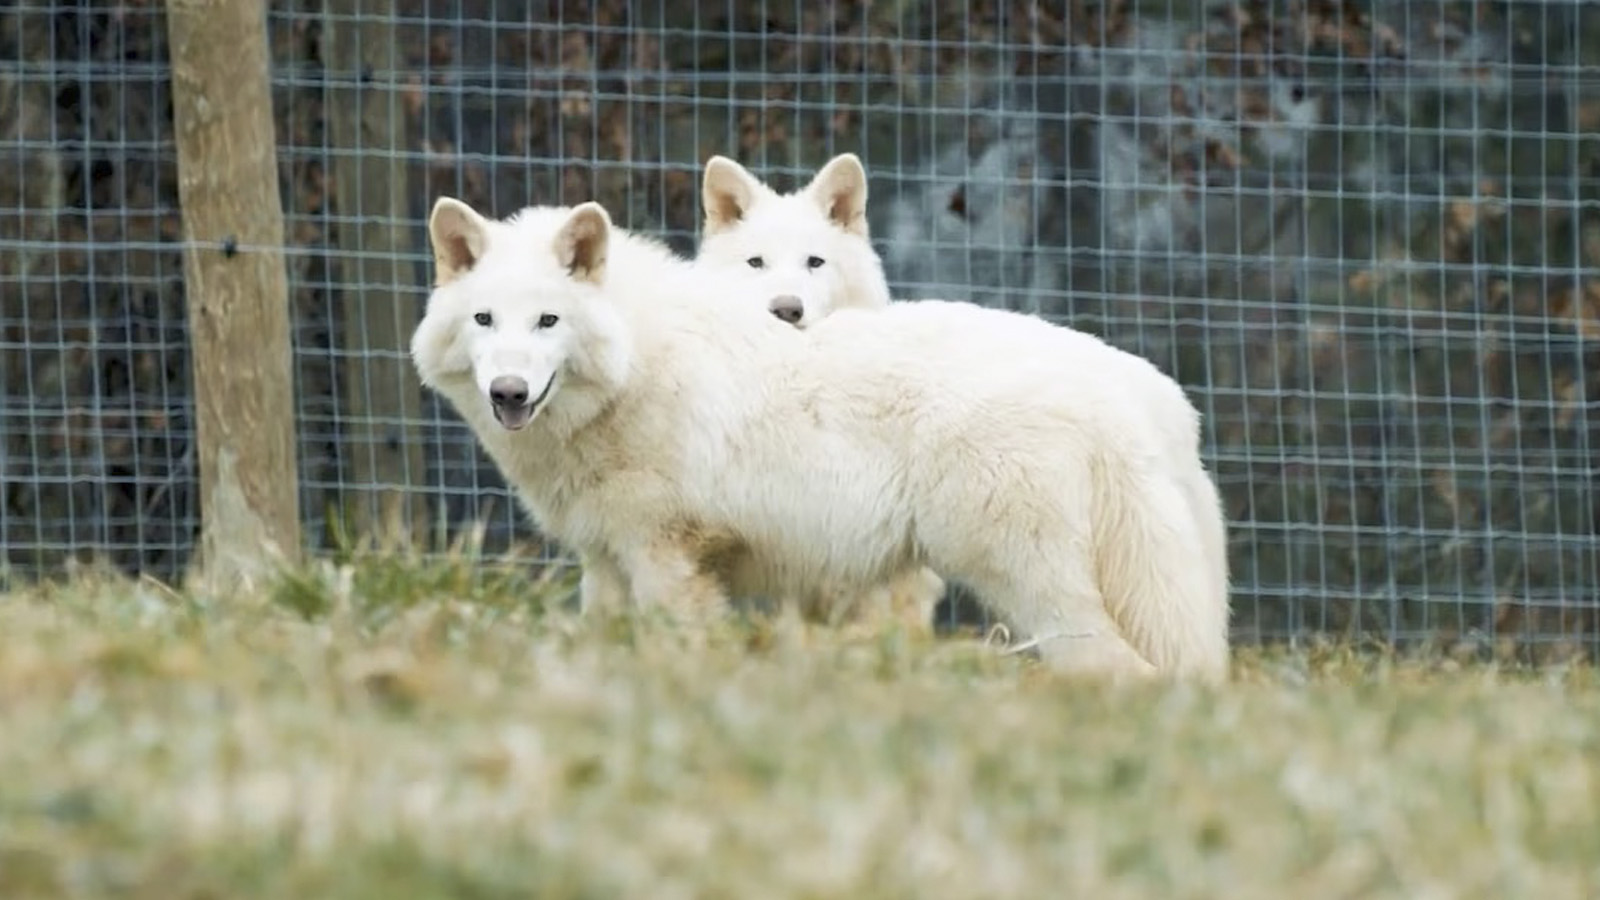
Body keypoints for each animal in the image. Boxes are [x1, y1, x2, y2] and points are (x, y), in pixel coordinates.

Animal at [410, 197, 1231, 683]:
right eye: (485, 320)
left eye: (548, 321)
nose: (508, 392)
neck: (635, 365)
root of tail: (1138, 392)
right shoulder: (608, 563)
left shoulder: (667, 561)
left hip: (1026, 587)